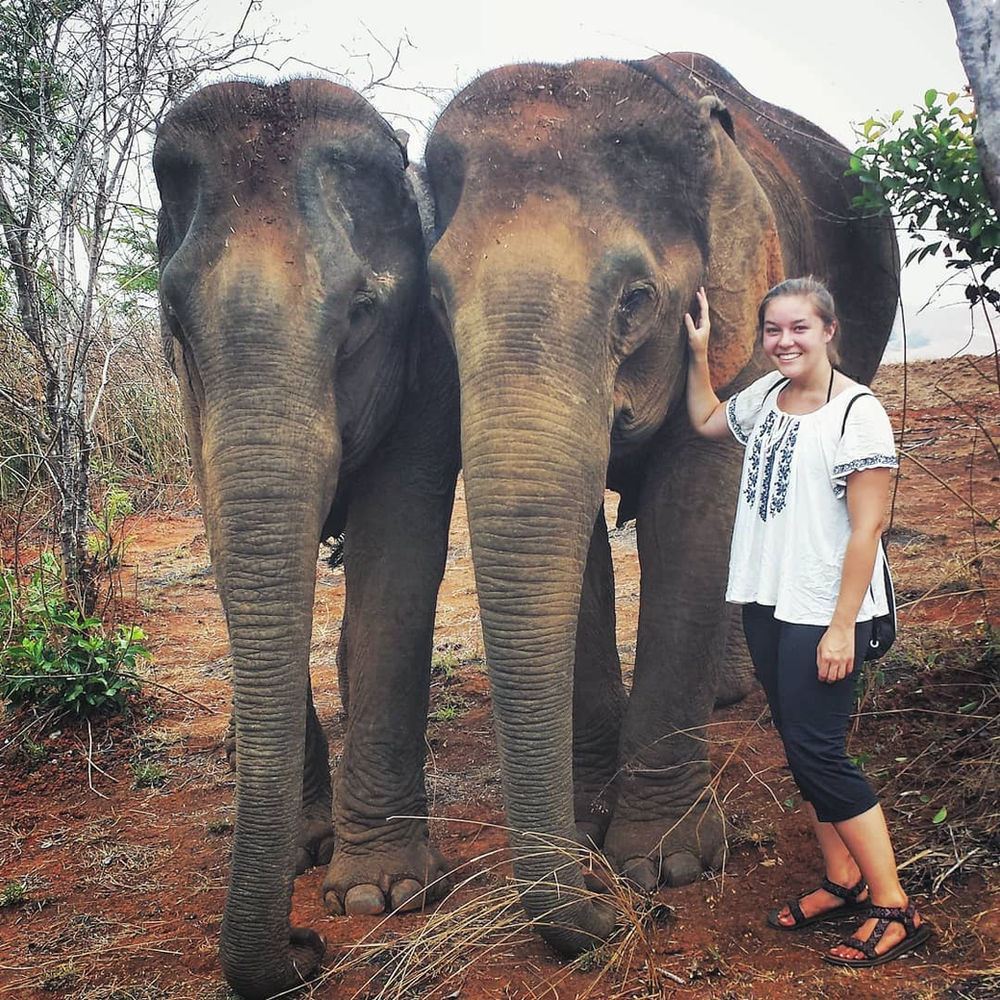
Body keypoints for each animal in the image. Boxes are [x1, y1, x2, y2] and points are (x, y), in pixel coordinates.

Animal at [154, 79, 459, 998]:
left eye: (362, 310)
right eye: (172, 316)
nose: (303, 946)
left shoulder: (431, 359)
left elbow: (399, 555)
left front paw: (379, 896)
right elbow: (230, 539)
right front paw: (301, 853)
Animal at [425, 53, 898, 954]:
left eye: (636, 298)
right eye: (433, 299)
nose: (606, 915)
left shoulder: (743, 325)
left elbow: (695, 514)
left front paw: (663, 866)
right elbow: (572, 542)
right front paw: (589, 828)